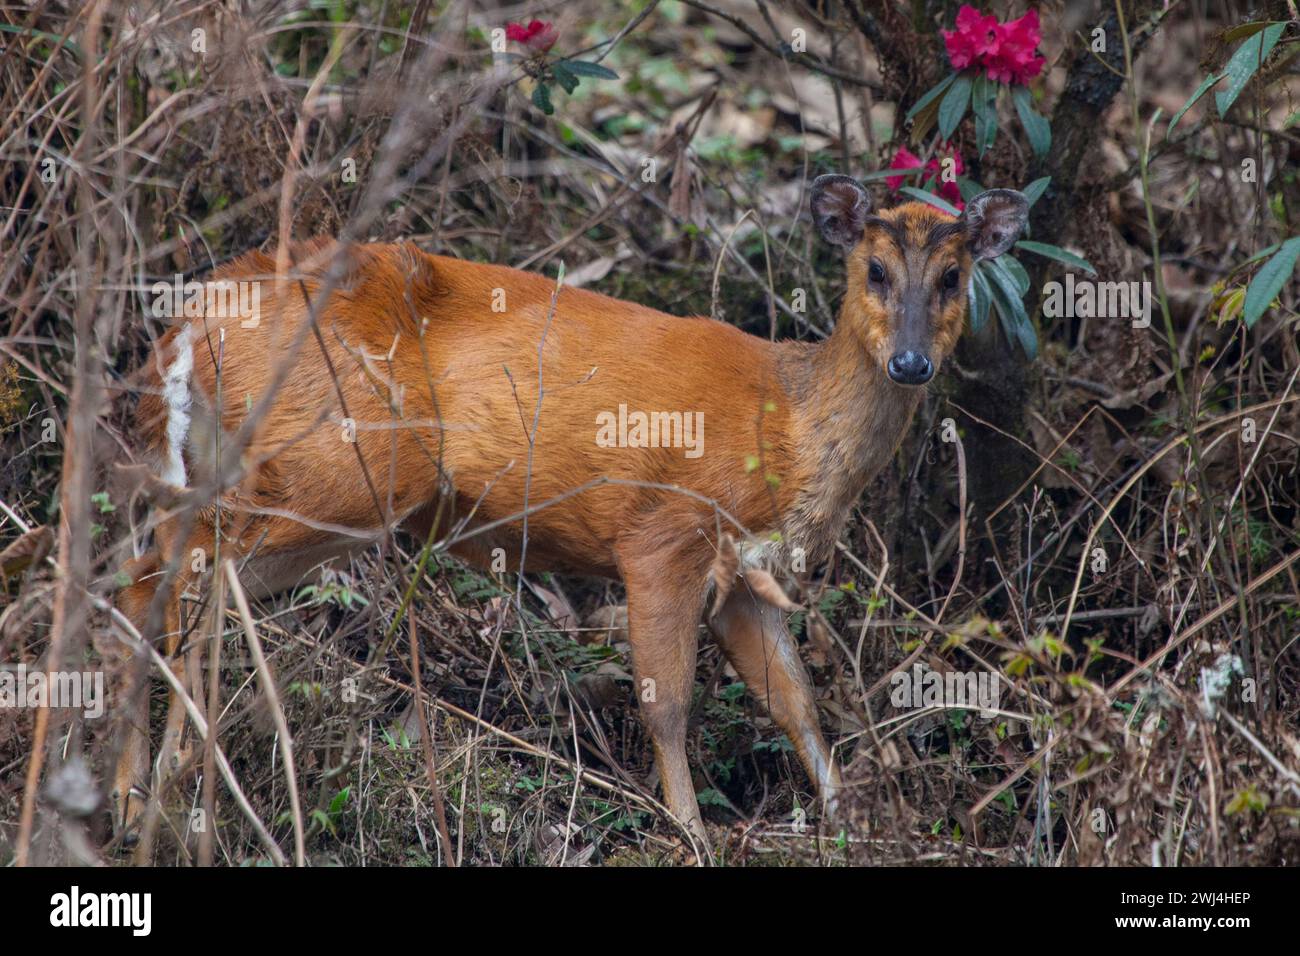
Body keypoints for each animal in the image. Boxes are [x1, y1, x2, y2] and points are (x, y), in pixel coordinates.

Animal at [110, 173, 1028, 856]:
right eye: (875, 270)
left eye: (953, 277)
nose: (910, 362)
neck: (788, 427)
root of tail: (191, 323)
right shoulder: (661, 532)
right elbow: (667, 700)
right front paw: (690, 832)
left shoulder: (746, 576)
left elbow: (795, 701)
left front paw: (849, 823)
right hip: (346, 465)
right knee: (174, 568)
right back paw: (158, 787)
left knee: (163, 572)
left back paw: (144, 789)